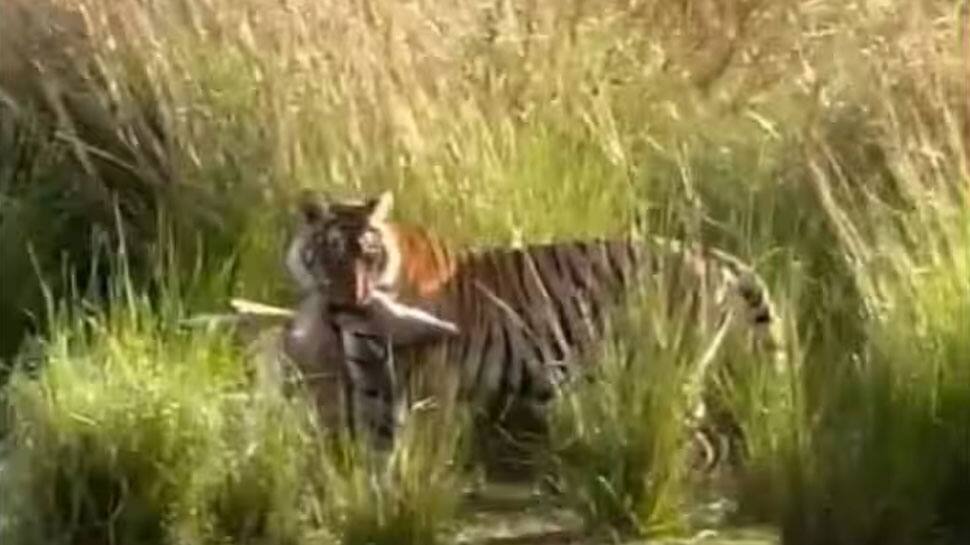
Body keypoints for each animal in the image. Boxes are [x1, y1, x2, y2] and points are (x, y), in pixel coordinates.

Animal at [285, 190, 784, 469]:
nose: (350, 299)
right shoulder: (371, 379)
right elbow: (377, 450)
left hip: (668, 369)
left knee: (696, 439)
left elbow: (421, 443)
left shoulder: (431, 379)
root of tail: (709, 254)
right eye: (332, 252)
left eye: (368, 254)